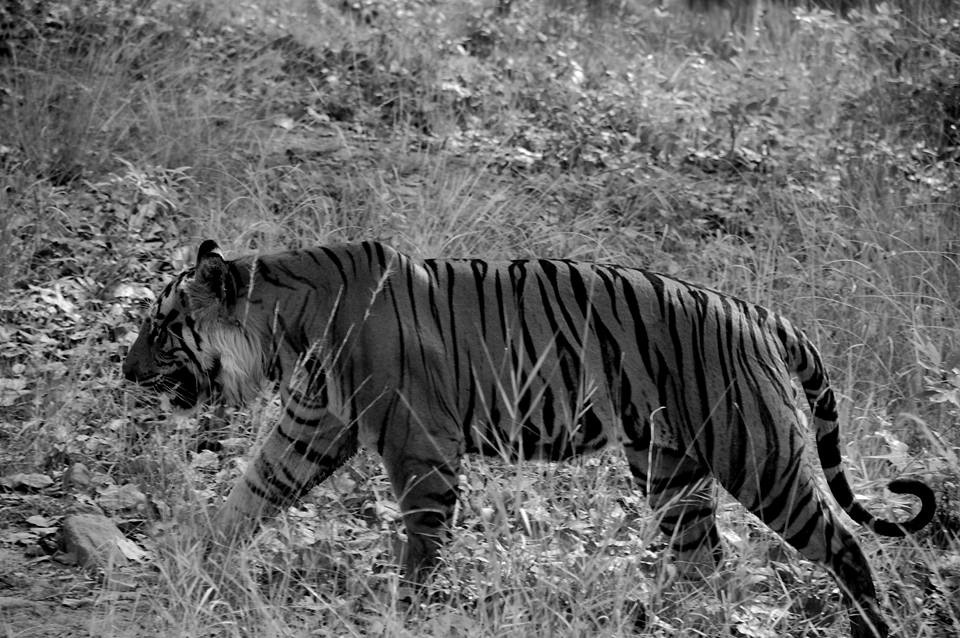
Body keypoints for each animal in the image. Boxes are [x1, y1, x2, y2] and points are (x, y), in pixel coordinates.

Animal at [123, 239, 935, 638]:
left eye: (160, 330)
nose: (123, 372)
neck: (287, 328)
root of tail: (757, 310)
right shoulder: (313, 424)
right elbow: (251, 493)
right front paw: (188, 560)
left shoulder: (419, 448)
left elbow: (421, 541)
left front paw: (401, 611)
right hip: (669, 466)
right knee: (705, 561)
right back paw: (659, 621)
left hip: (756, 454)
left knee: (841, 543)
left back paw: (872, 627)